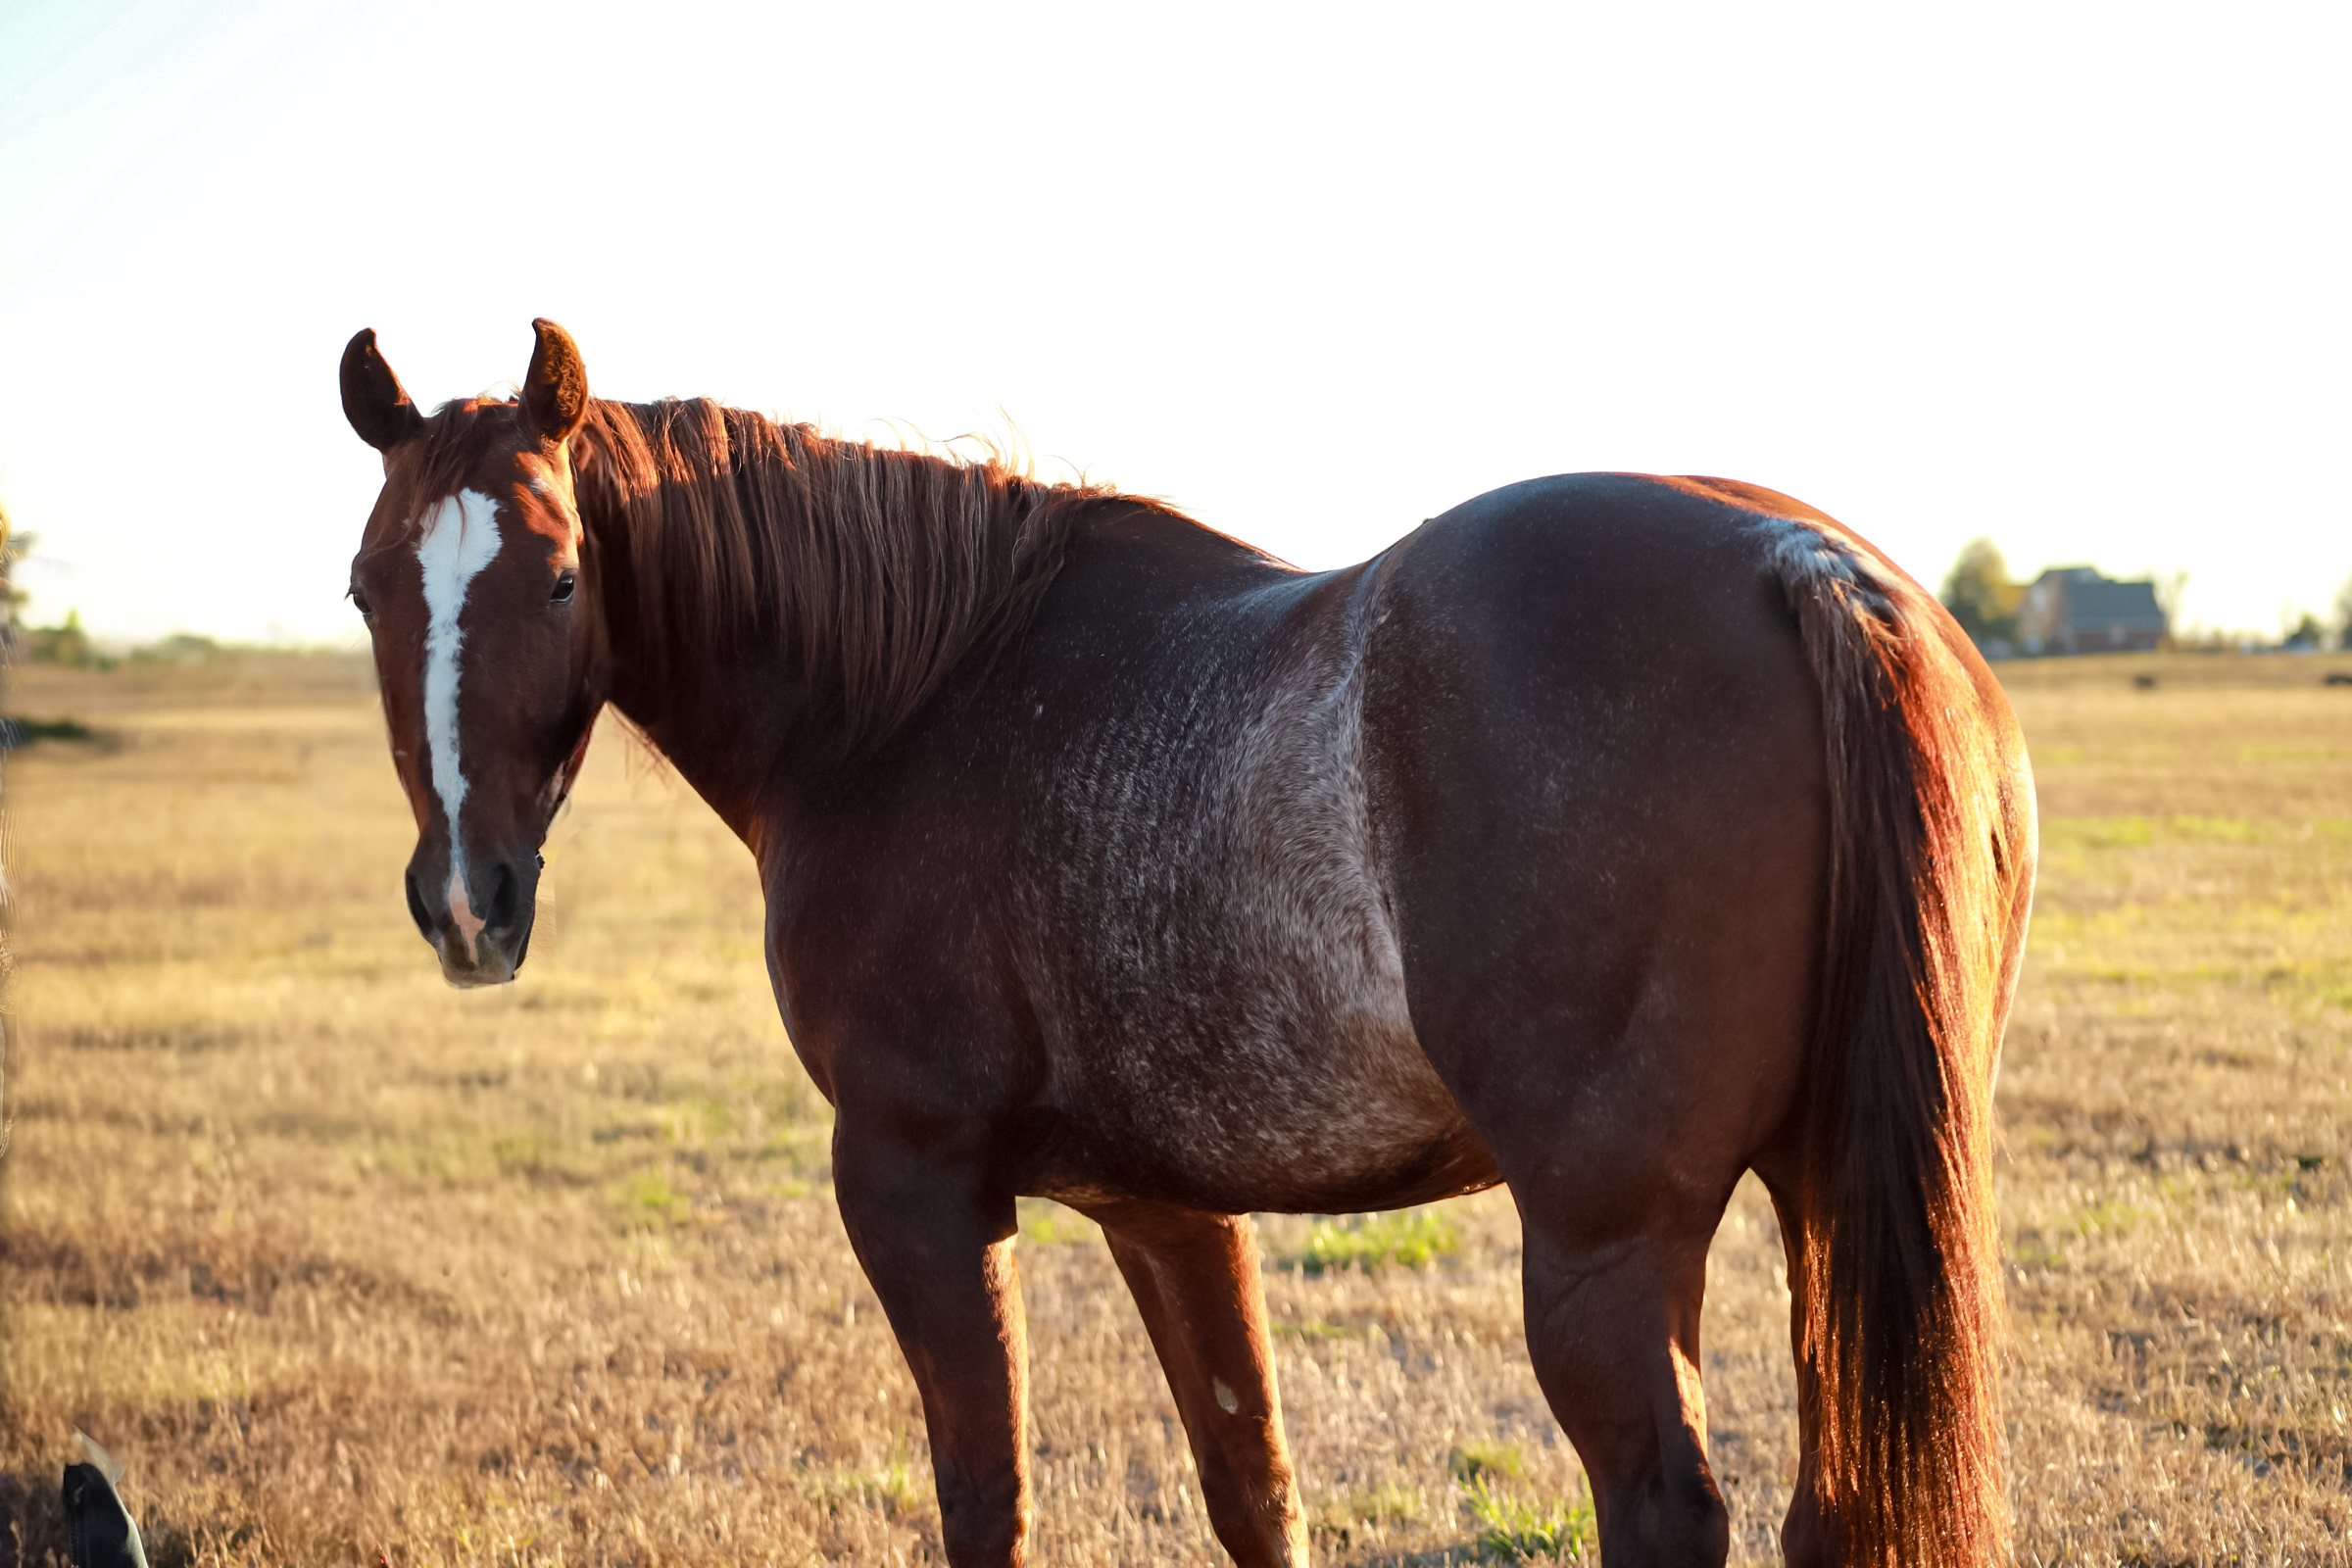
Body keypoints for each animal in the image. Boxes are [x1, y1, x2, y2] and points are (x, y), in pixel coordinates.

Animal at [339, 319, 2034, 1568]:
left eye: (563, 573)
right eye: (364, 587)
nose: (468, 902)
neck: (915, 698)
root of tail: (1800, 564)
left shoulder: (914, 1189)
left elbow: (988, 1503)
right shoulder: (1164, 1209)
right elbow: (1251, 1490)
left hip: (1606, 1247)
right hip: (1825, 1194)